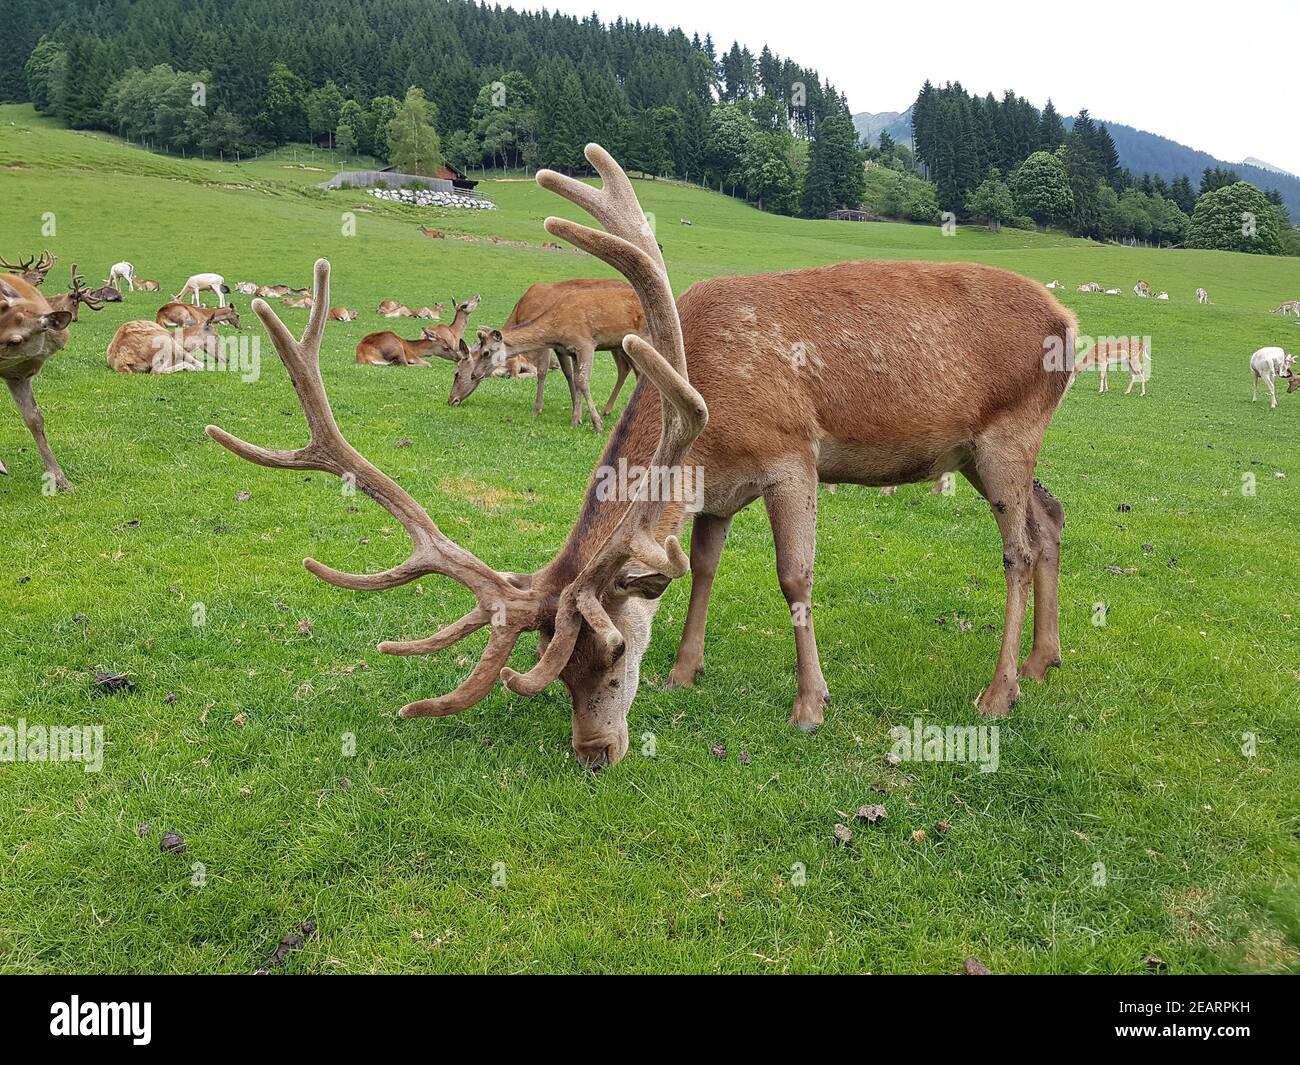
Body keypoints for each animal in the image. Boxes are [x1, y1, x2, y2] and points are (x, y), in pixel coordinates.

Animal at [447, 281, 639, 432]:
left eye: (457, 373)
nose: (451, 399)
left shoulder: (557, 346)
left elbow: (544, 372)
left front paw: (537, 410)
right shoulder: (562, 348)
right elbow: (570, 374)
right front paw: (577, 414)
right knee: (628, 369)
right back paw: (609, 410)